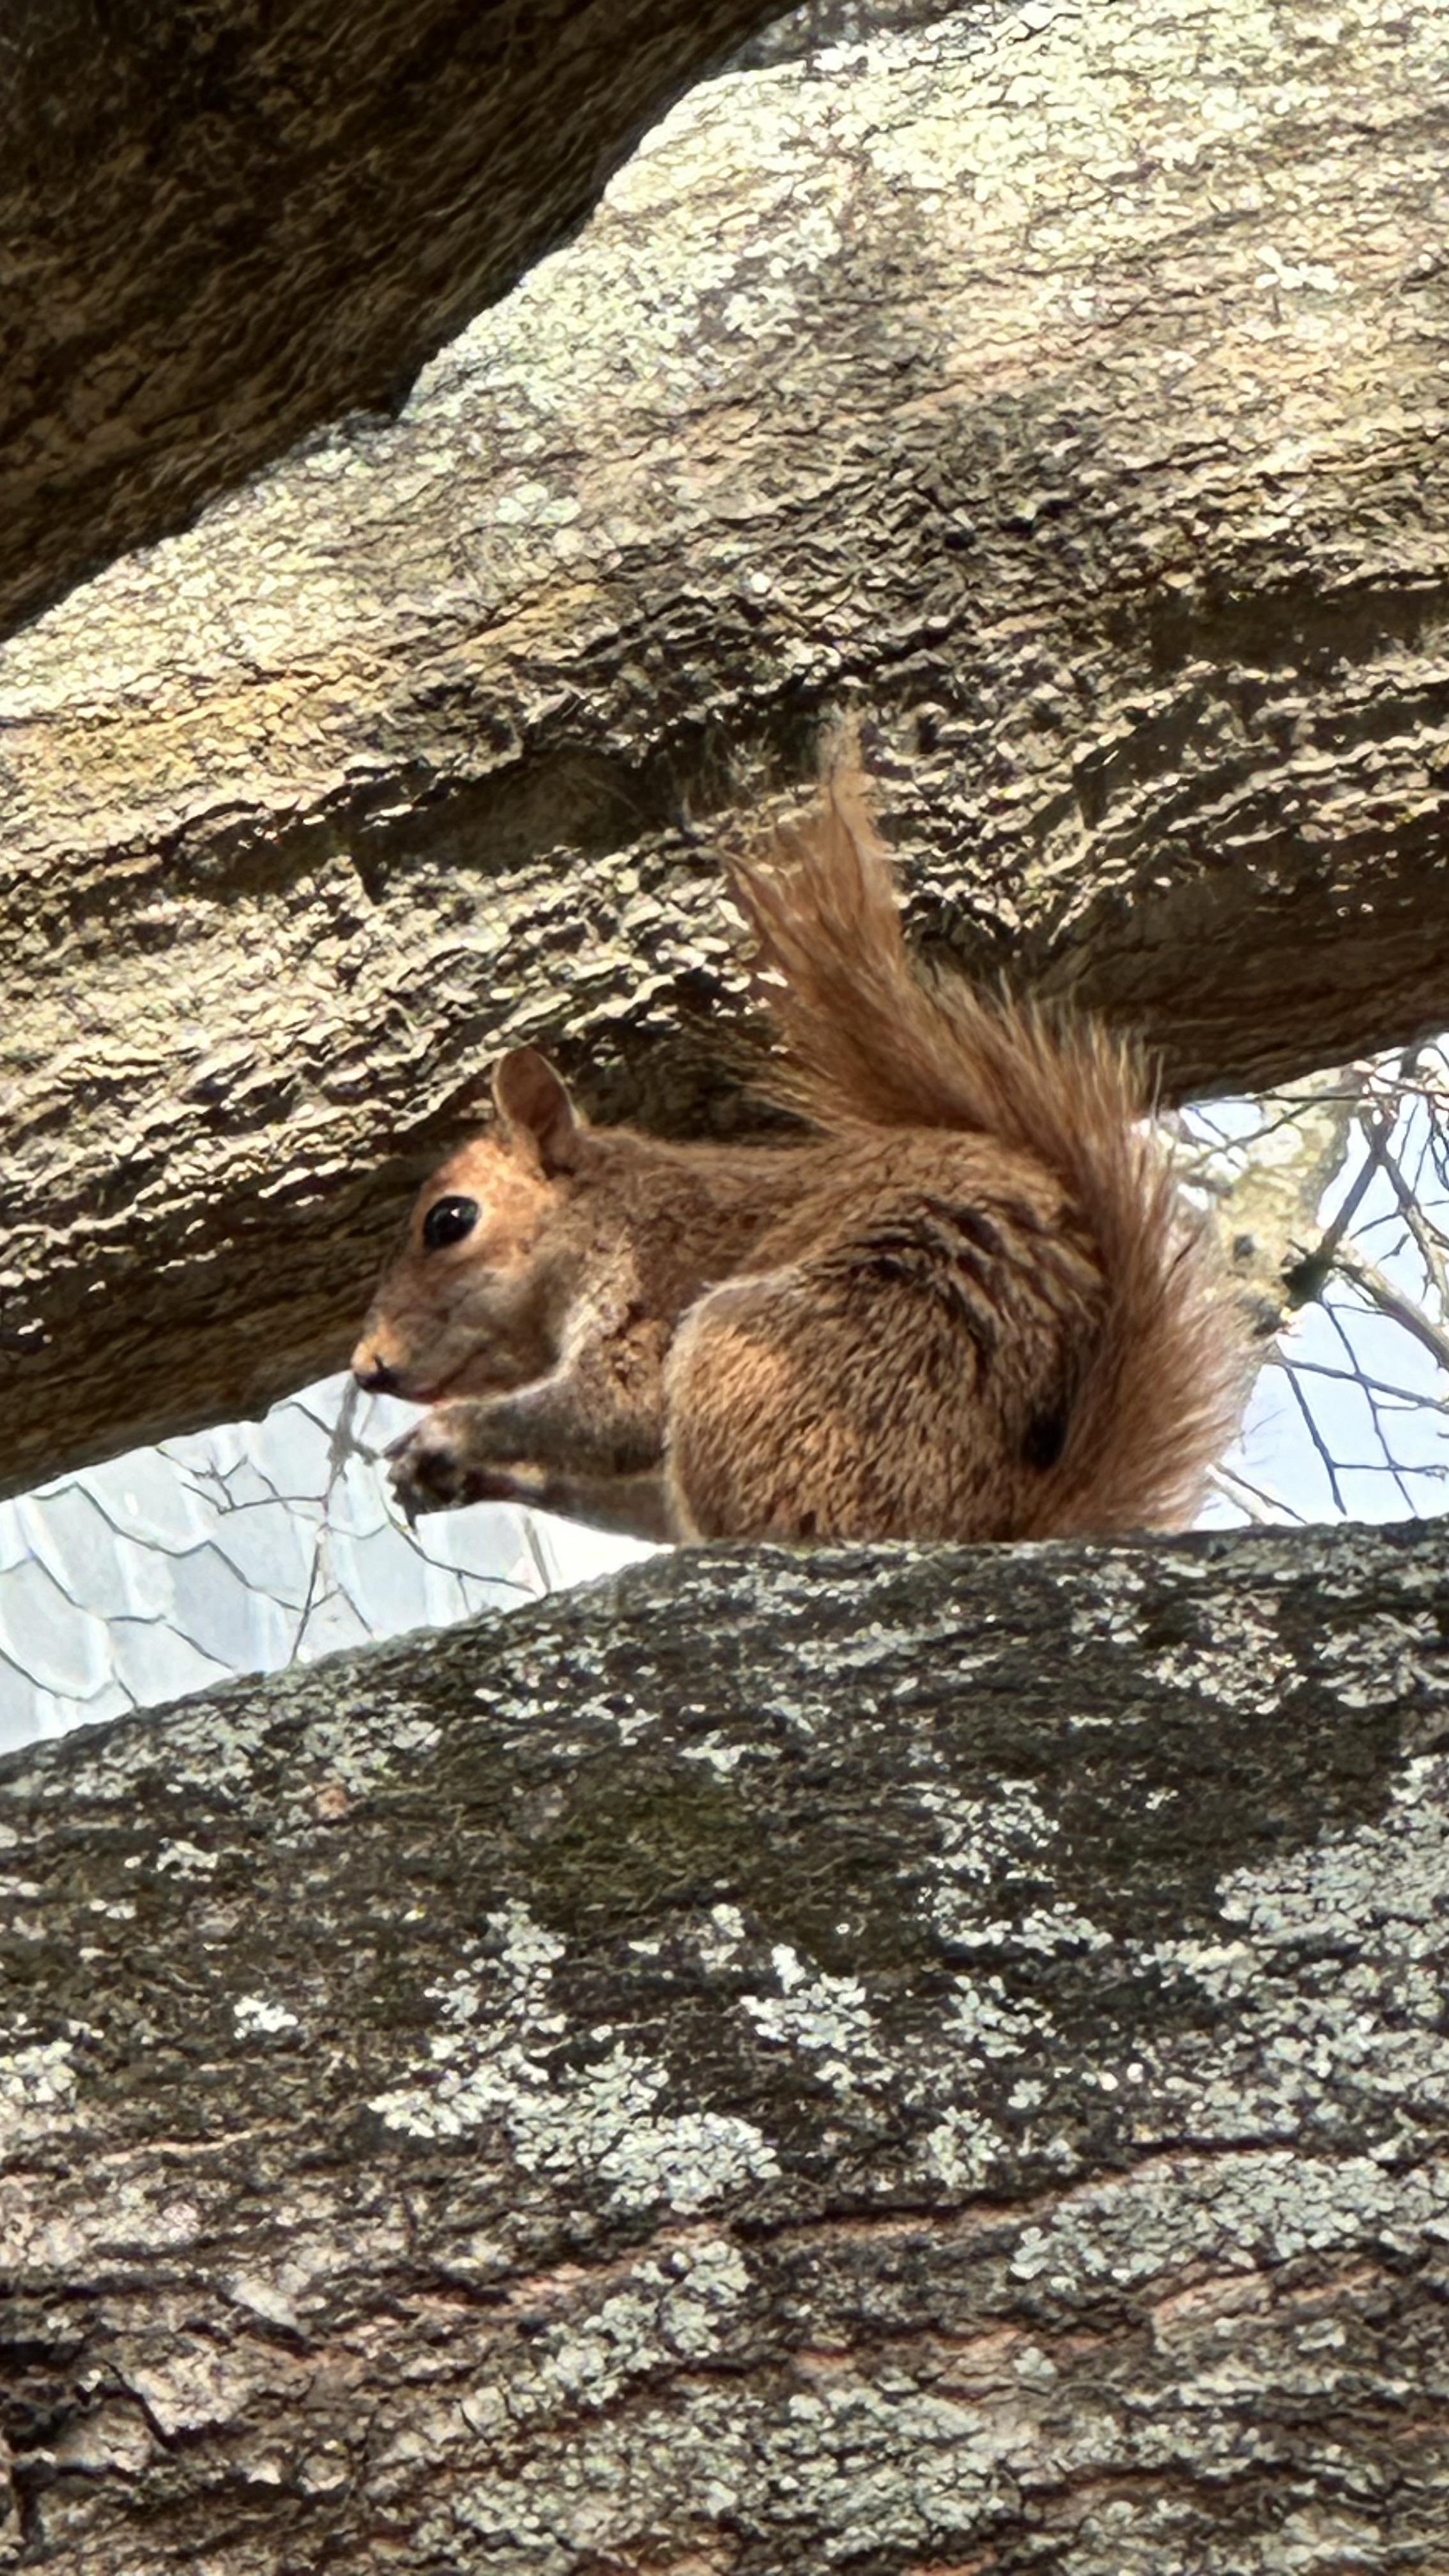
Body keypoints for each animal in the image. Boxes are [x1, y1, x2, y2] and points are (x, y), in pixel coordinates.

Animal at [351, 747, 1250, 1546]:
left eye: (450, 1221)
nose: (367, 1367)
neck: (613, 1206)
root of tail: (991, 1527)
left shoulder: (657, 1277)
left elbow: (619, 1408)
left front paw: (452, 1435)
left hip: (764, 1358)